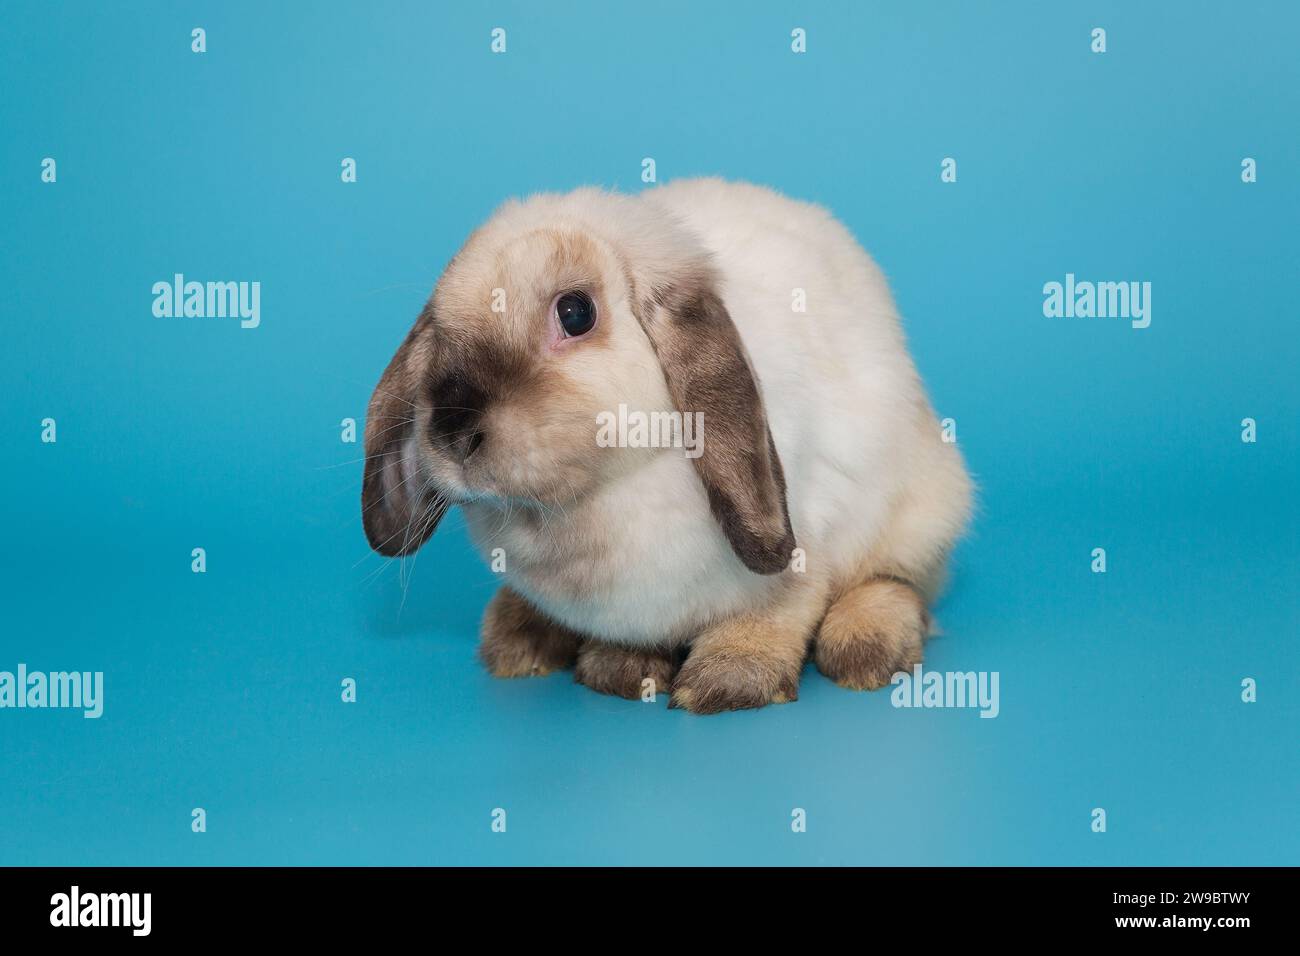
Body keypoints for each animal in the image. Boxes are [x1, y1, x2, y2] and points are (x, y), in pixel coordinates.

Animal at [361, 178, 972, 714]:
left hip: (916, 513)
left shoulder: (802, 550)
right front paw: (622, 670)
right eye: (441, 335)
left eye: (575, 313)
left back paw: (865, 649)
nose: (452, 432)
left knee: (898, 581)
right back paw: (518, 638)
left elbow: (775, 613)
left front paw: (727, 681)